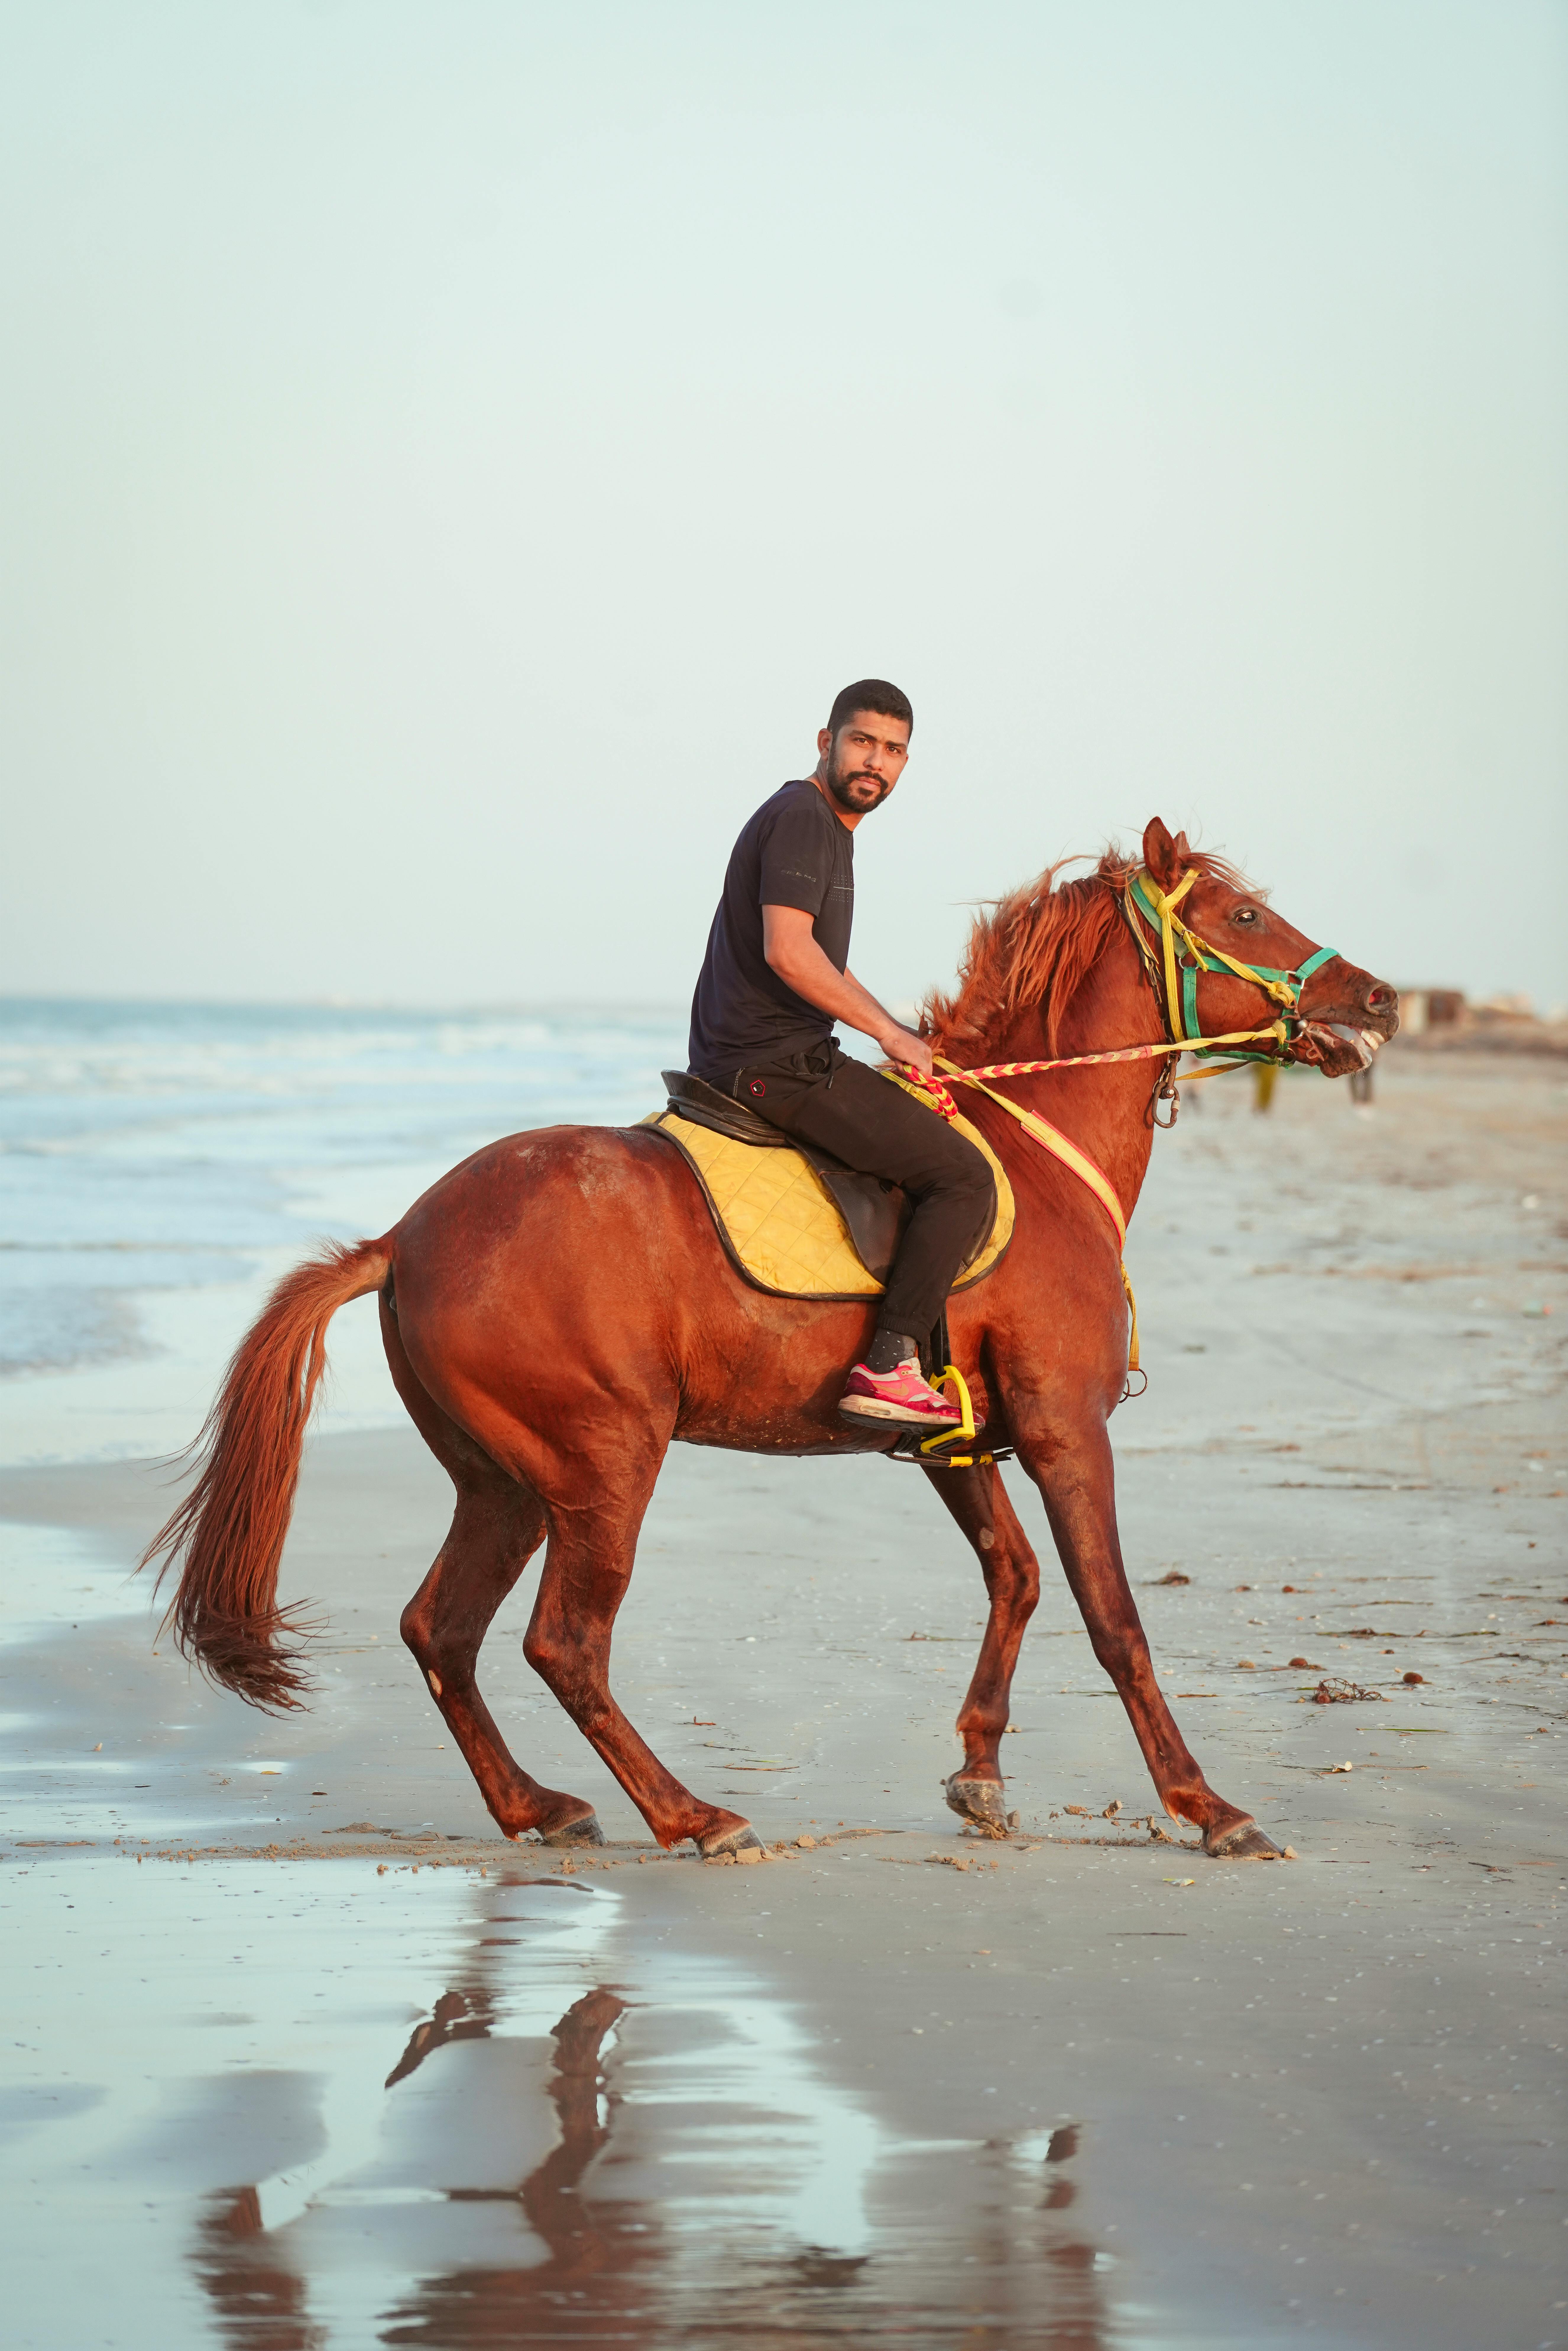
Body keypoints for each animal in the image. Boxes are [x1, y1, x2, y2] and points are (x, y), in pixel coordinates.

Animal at [144, 817, 1397, 1861]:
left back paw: (537, 1805)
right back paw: (690, 1814)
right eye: (1243, 915)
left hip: (502, 1479)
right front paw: (1206, 1805)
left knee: (440, 1630)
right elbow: (1112, 1617)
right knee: (563, 1642)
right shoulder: (1063, 1429)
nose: (1381, 998)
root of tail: (406, 1235)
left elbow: (1017, 1578)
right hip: (603, 1461)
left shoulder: (955, 1445)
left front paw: (980, 1772)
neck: (1031, 1157)